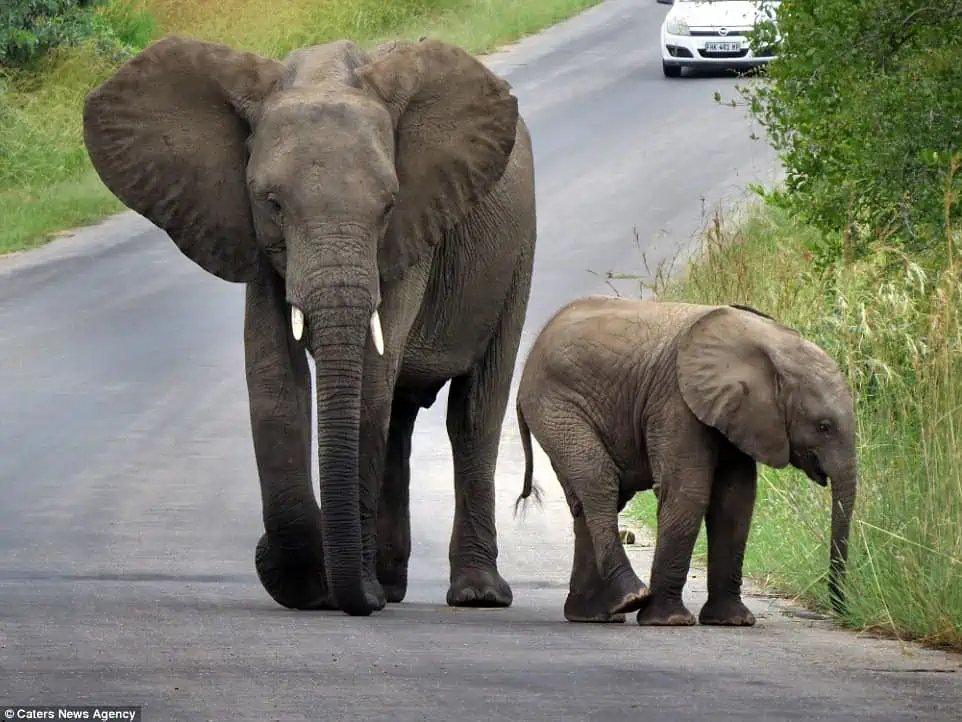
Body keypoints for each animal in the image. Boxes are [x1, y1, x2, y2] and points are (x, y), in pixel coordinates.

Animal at [82, 34, 537, 616]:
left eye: (388, 205)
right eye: (272, 203)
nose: (260, 551)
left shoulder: (412, 235)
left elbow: (369, 379)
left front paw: (334, 585)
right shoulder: (252, 236)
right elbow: (274, 380)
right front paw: (306, 583)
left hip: (517, 254)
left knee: (474, 413)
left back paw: (473, 595)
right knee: (399, 419)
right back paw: (389, 585)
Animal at [514, 296, 857, 626]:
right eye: (823, 426)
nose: (840, 608)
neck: (770, 343)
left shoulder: (738, 414)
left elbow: (736, 501)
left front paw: (733, 621)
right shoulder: (675, 401)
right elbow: (687, 492)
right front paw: (670, 621)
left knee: (589, 499)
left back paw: (596, 614)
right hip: (557, 406)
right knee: (600, 484)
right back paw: (630, 598)